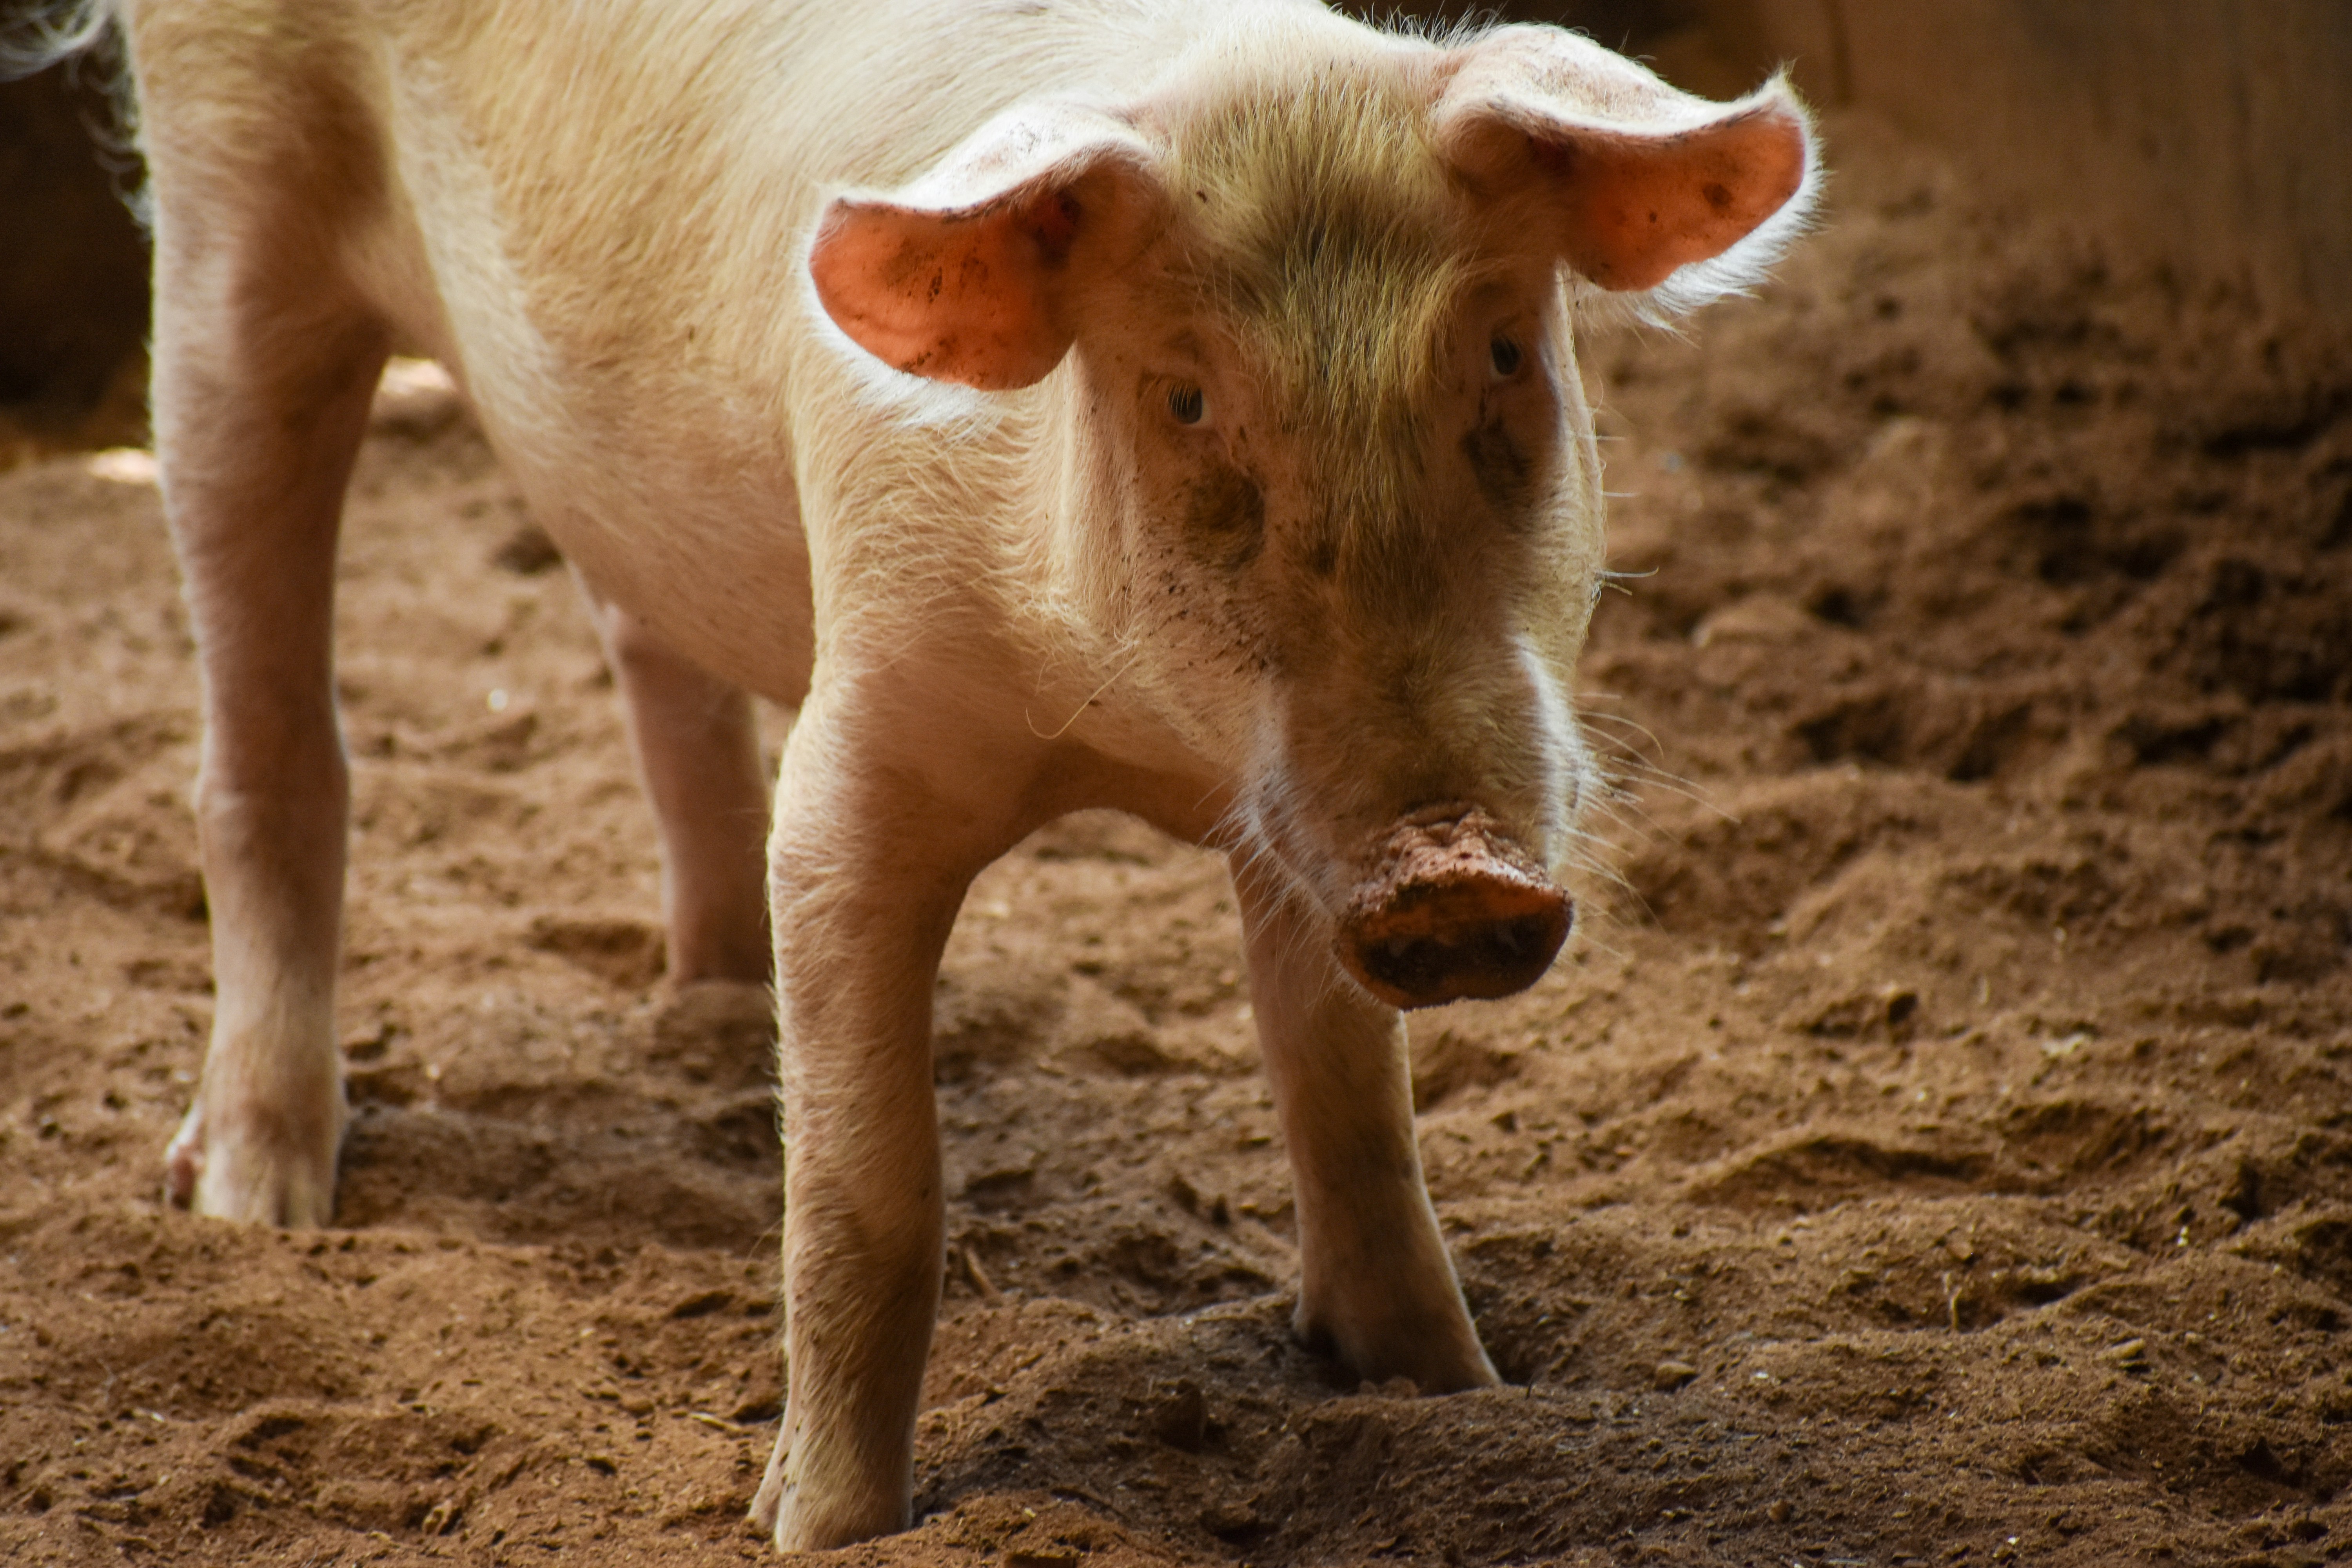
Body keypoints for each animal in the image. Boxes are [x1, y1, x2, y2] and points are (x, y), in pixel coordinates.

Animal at [68, 0, 1814, 1548]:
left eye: (1509, 357)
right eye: (1186, 395)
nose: (1453, 872)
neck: (1127, 740)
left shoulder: (1297, 830)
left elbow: (1353, 1109)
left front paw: (1455, 1389)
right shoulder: (863, 735)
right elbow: (867, 1189)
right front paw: (816, 1529)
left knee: (642, 633)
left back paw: (713, 999)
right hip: (228, 212)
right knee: (268, 725)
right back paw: (251, 1199)